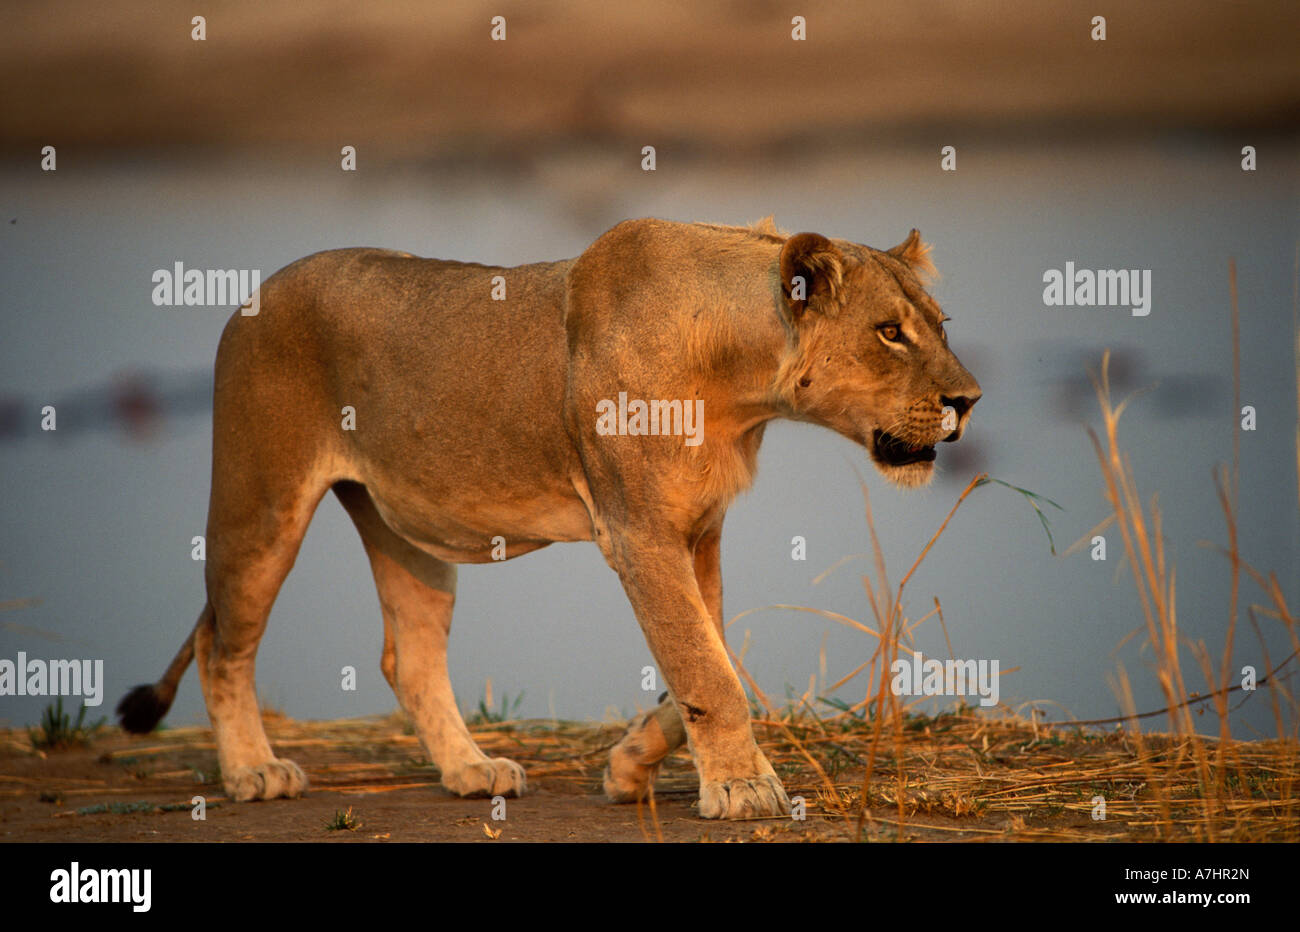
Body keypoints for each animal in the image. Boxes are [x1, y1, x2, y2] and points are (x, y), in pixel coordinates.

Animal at [117, 216, 980, 819]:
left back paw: (471, 771)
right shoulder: (638, 533)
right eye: (889, 332)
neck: (740, 381)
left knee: (409, 656)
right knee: (222, 641)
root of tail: (253, 296)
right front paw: (742, 791)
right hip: (260, 501)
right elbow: (707, 670)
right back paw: (253, 772)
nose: (968, 400)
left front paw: (630, 768)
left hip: (406, 524)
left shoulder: (696, 530)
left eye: (942, 325)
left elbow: (702, 664)